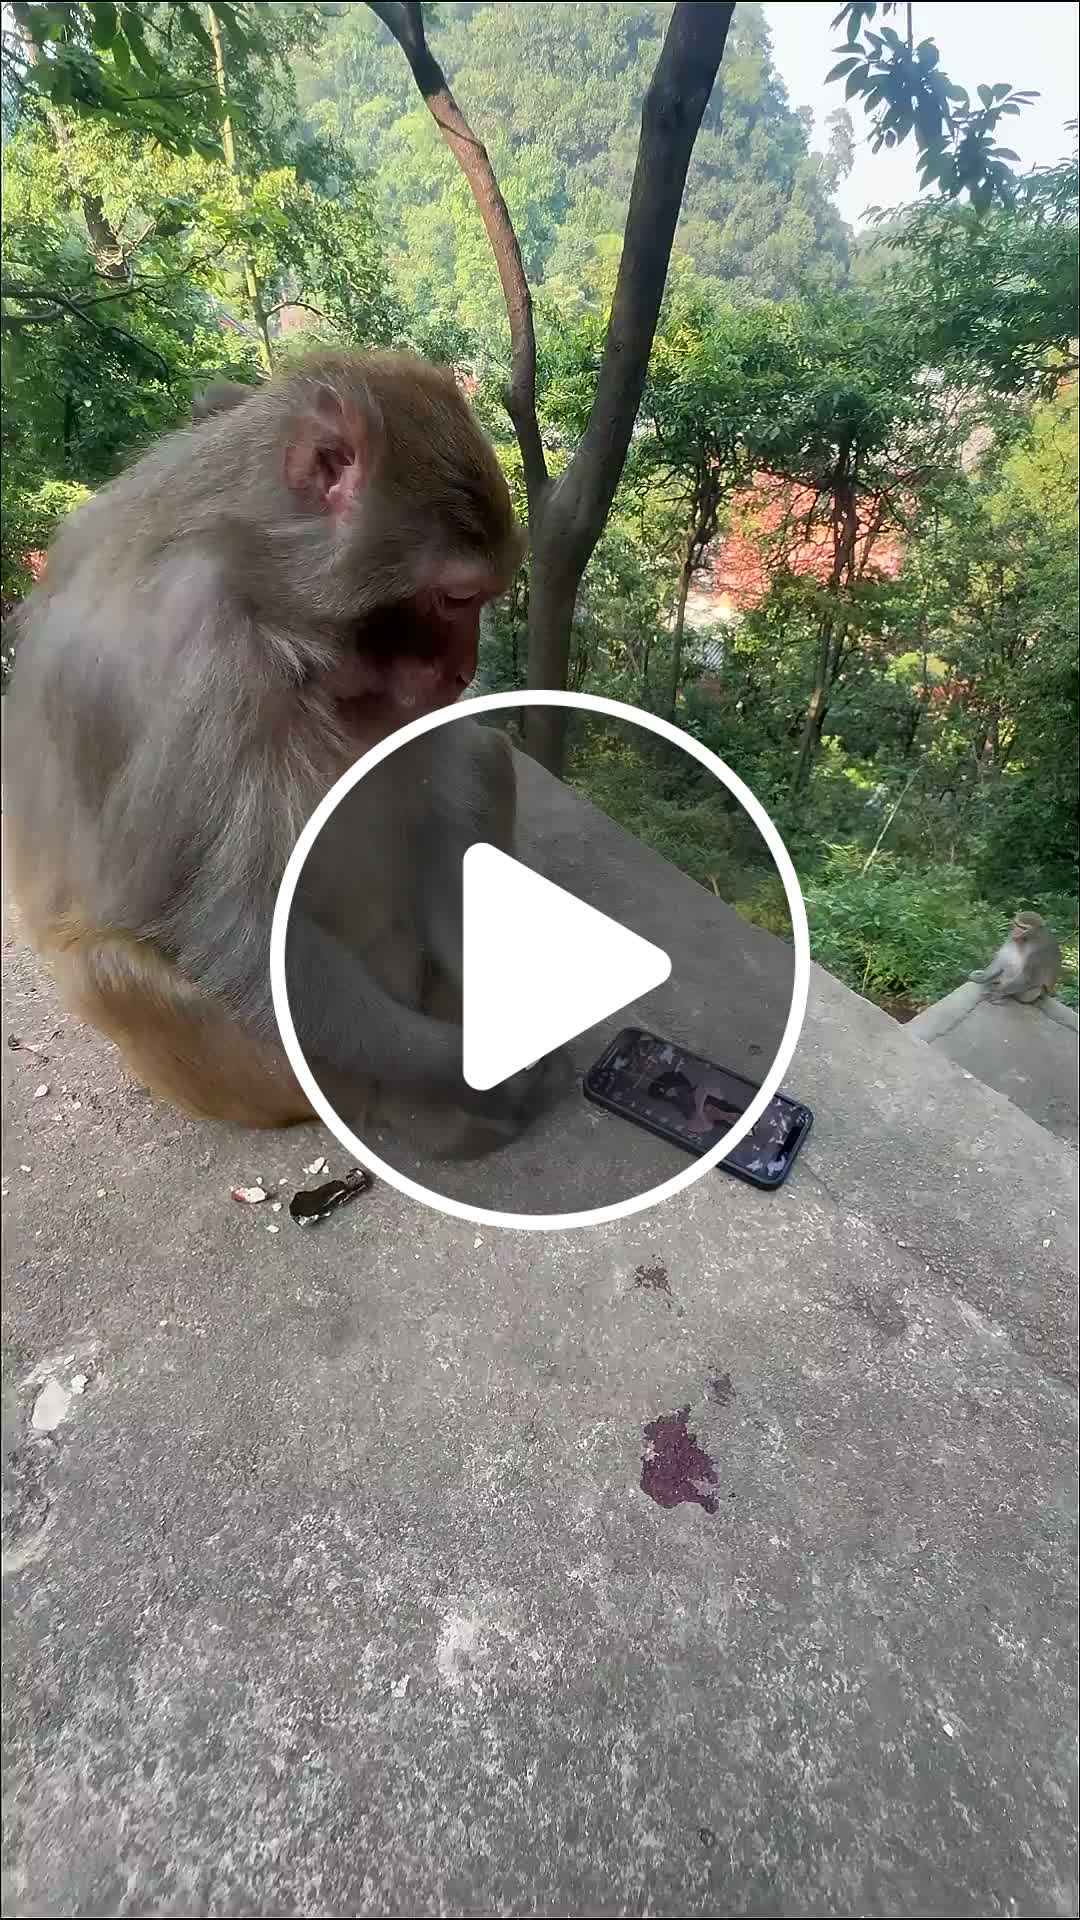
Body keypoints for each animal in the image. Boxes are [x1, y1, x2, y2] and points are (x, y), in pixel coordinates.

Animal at [3, 349, 564, 1149]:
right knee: (111, 970)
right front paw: (469, 1071)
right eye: (456, 598)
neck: (258, 586)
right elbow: (230, 928)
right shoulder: (204, 655)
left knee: (475, 754)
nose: (463, 669)